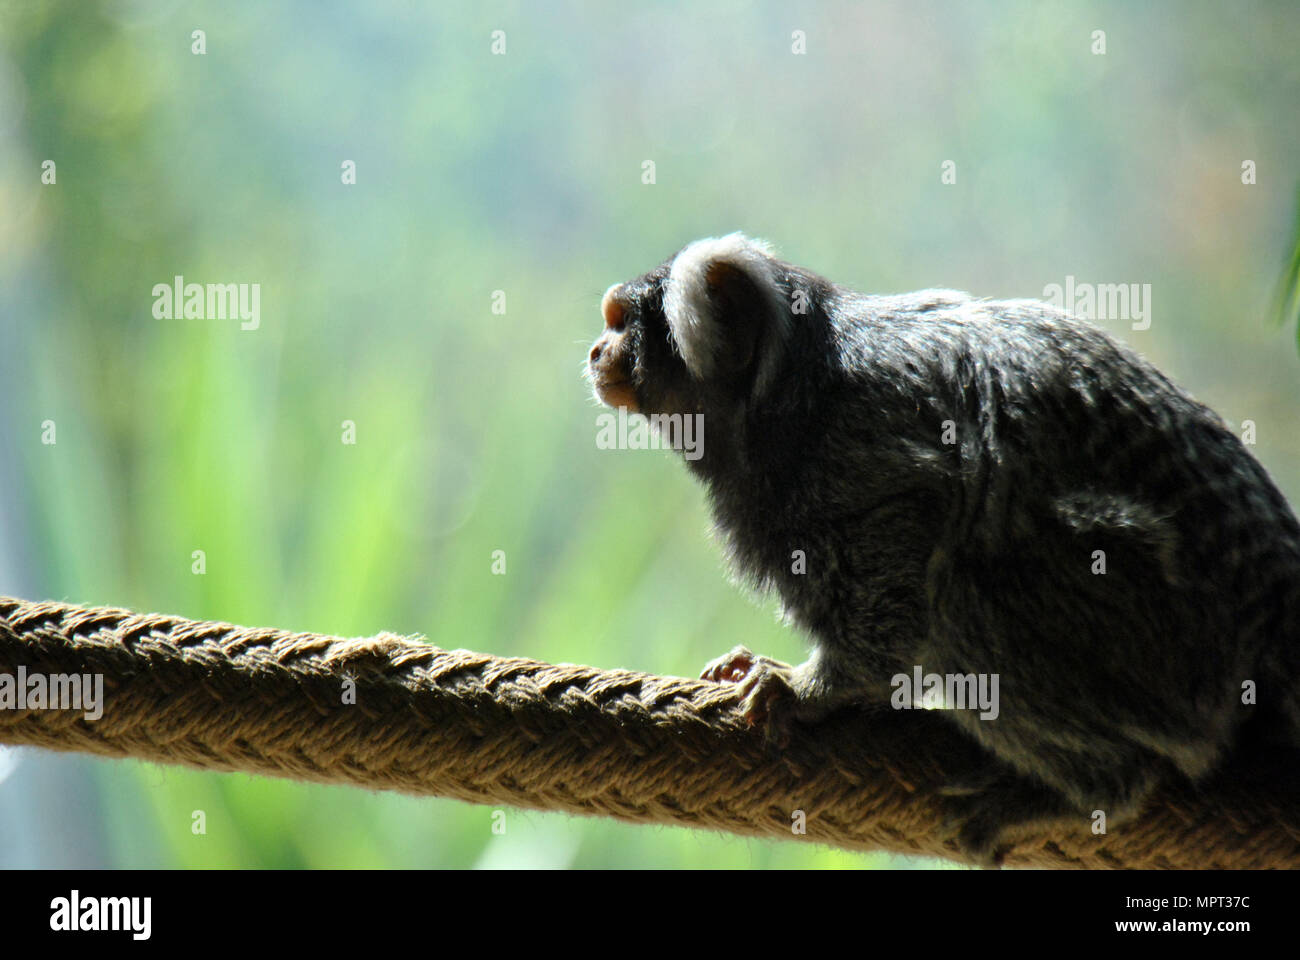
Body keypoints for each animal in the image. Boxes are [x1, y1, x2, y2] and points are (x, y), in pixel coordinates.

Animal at [584, 233, 1300, 865]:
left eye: (621, 324)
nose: (595, 351)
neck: (788, 392)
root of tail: (1272, 593)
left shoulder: (865, 439)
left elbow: (917, 520)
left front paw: (815, 688)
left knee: (966, 592)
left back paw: (1092, 792)